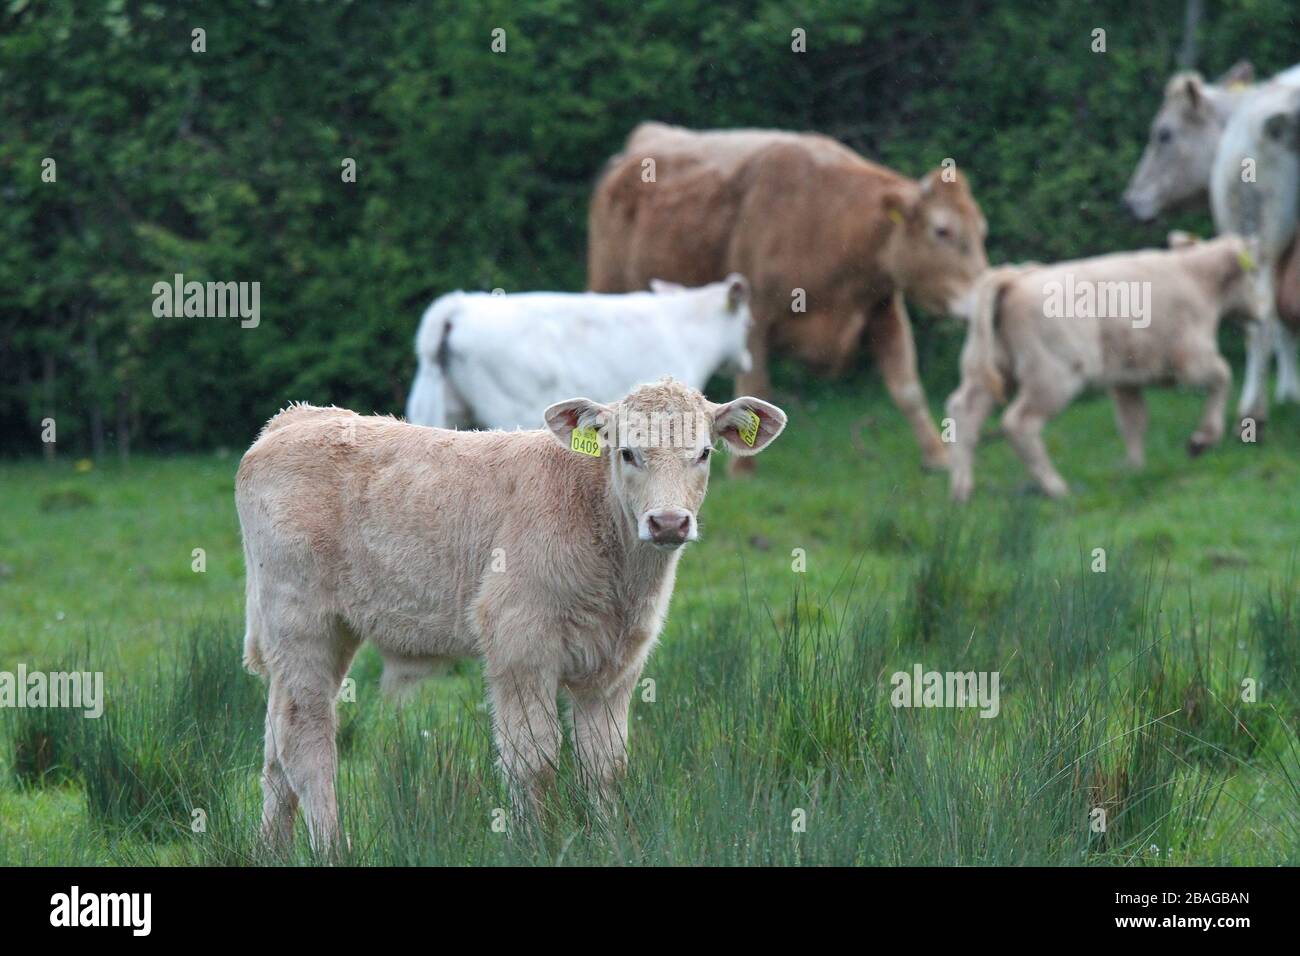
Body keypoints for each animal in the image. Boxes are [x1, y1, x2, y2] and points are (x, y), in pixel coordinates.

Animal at [236, 378, 786, 849]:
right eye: (627, 452)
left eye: (704, 453)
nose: (669, 522)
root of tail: (297, 417)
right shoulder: (520, 644)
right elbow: (534, 759)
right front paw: (533, 843)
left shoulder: (617, 664)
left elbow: (605, 764)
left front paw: (610, 842)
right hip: (301, 623)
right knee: (305, 741)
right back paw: (331, 847)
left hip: (324, 634)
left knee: (275, 746)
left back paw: (271, 848)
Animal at [588, 122, 989, 475]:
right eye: (942, 231)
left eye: (981, 230)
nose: (979, 299)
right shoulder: (754, 315)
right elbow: (755, 385)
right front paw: (743, 468)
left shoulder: (883, 309)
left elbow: (907, 389)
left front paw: (937, 457)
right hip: (607, 282)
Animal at [945, 235, 1260, 502]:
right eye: (1255, 272)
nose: (1262, 311)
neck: (1195, 277)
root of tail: (1016, 278)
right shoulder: (1191, 358)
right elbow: (1223, 377)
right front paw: (1202, 440)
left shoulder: (1126, 378)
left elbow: (1133, 421)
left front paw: (1135, 469)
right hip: (1053, 376)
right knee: (1018, 423)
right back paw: (1056, 488)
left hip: (993, 372)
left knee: (964, 411)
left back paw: (962, 490)